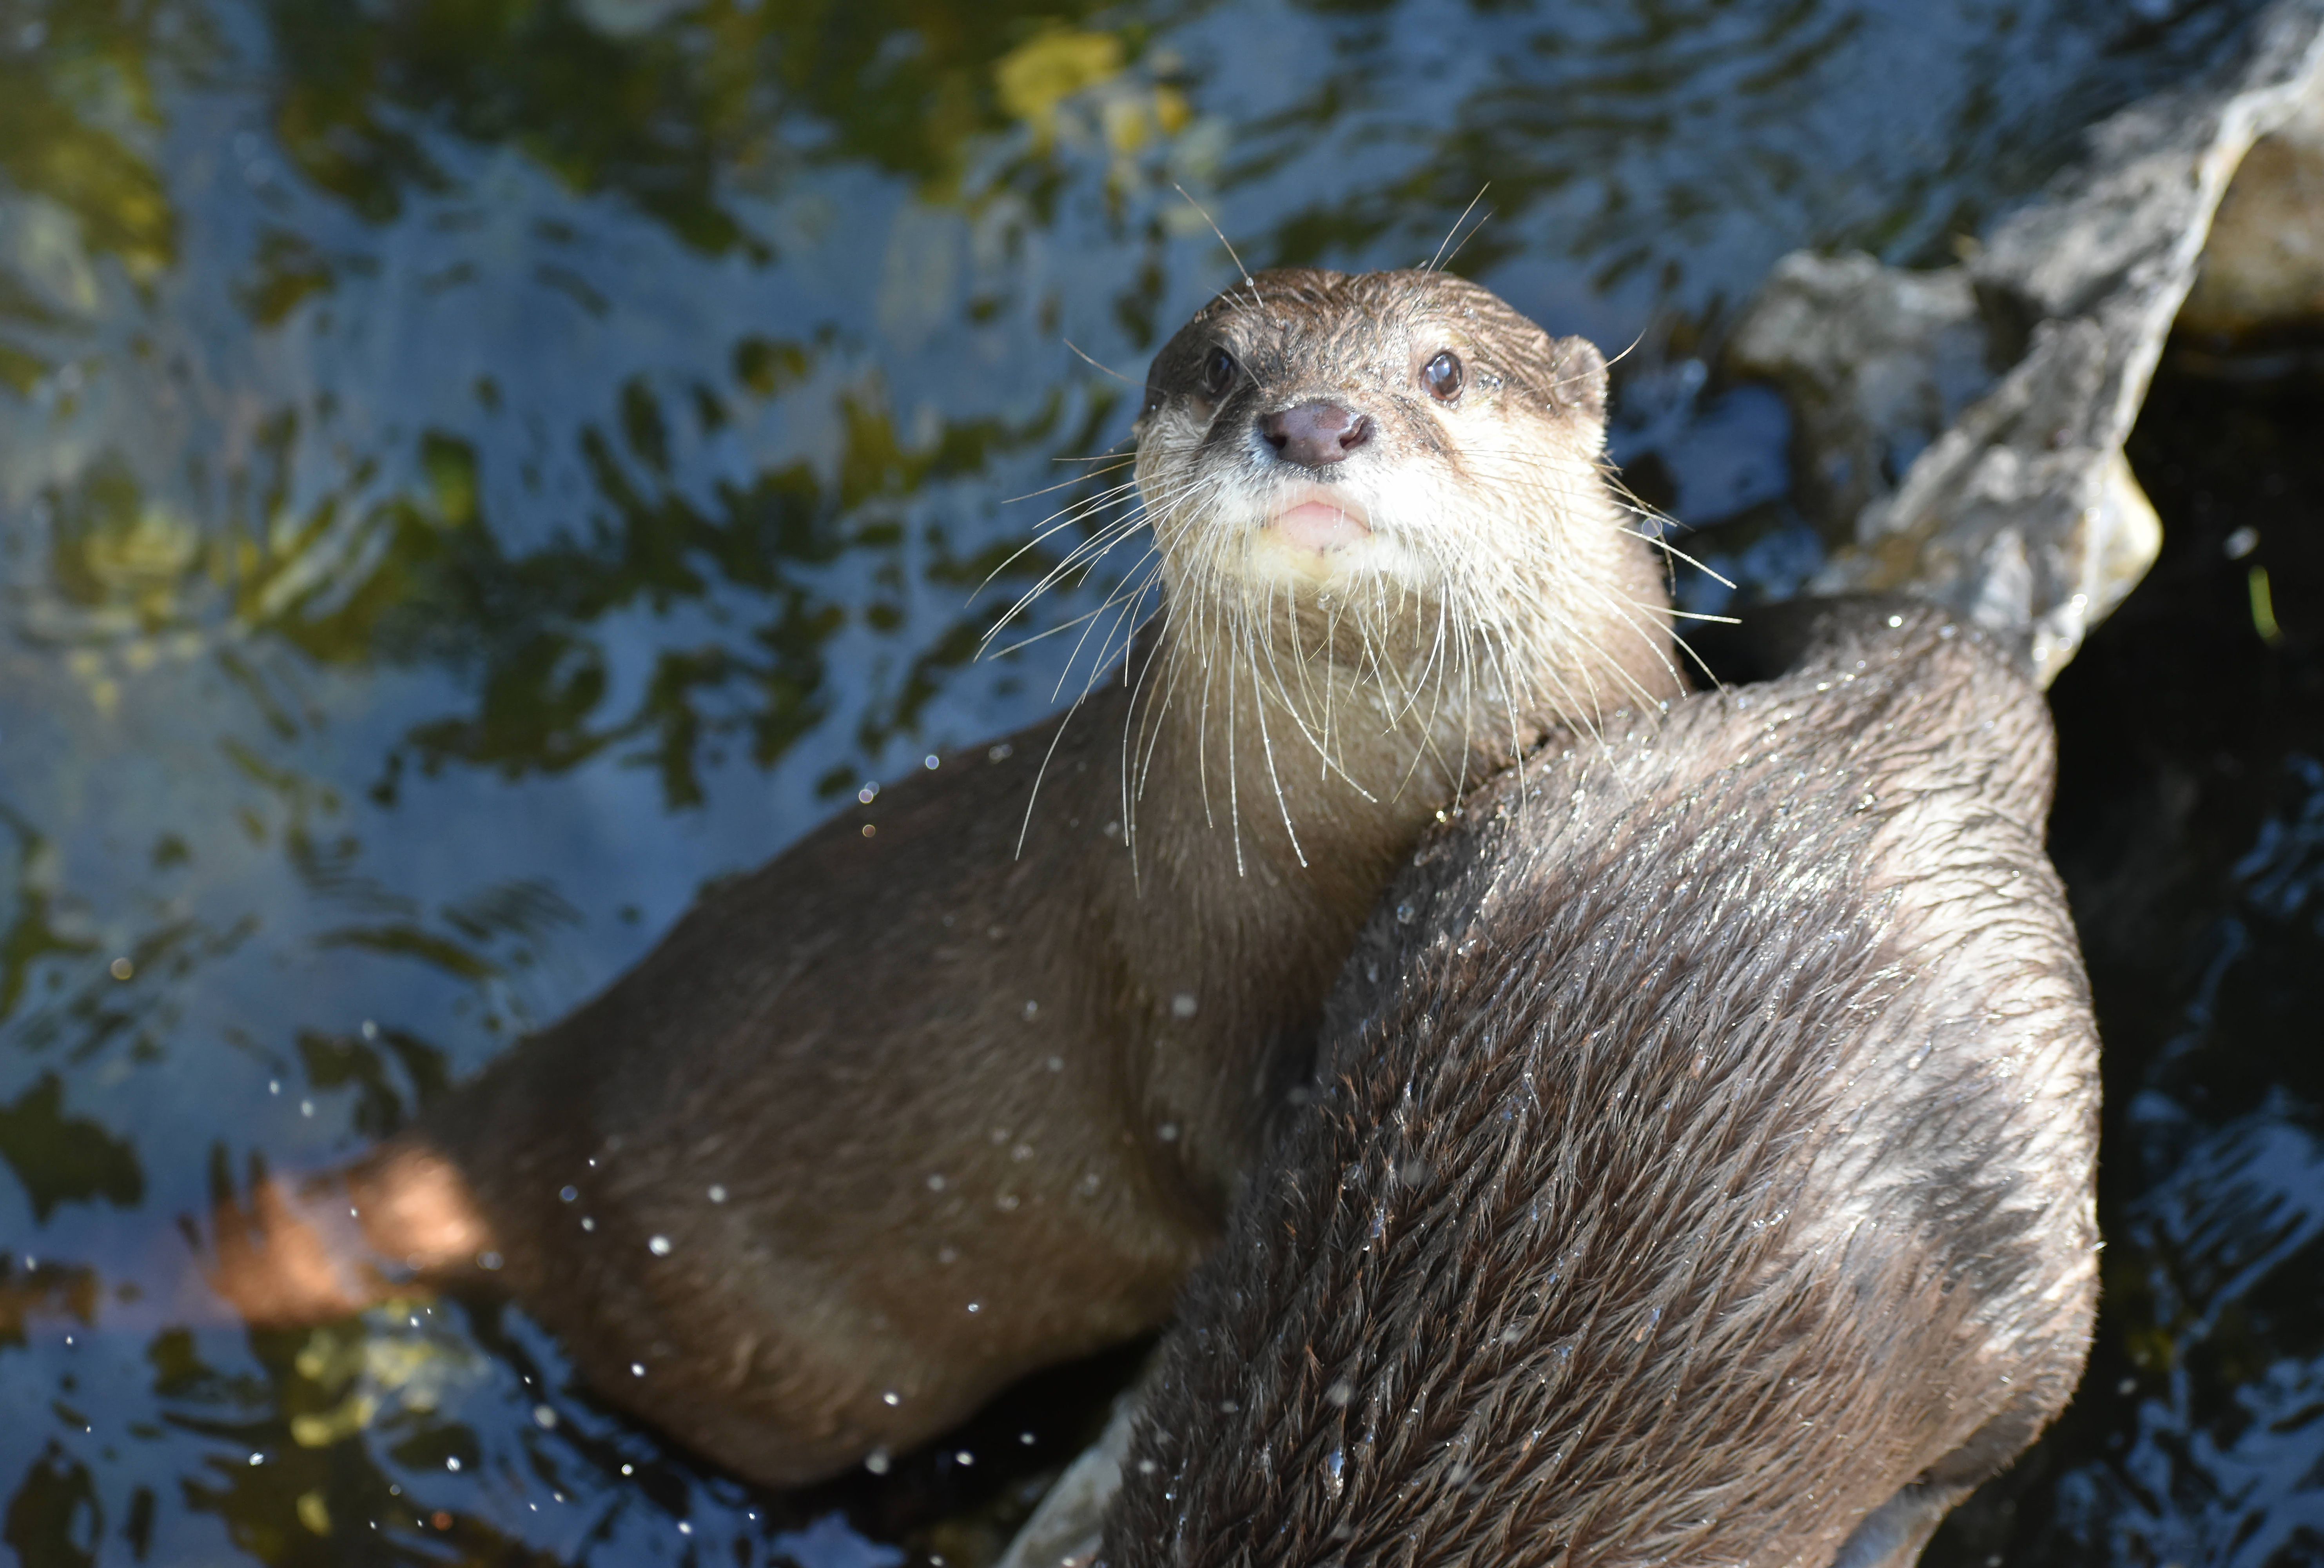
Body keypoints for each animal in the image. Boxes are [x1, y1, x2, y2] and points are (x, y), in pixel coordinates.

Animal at [201, 268, 1683, 1487]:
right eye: (1218, 365)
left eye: (1441, 367)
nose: (1313, 421)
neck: (1366, 821)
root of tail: (523, 1119)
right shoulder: (1188, 999)